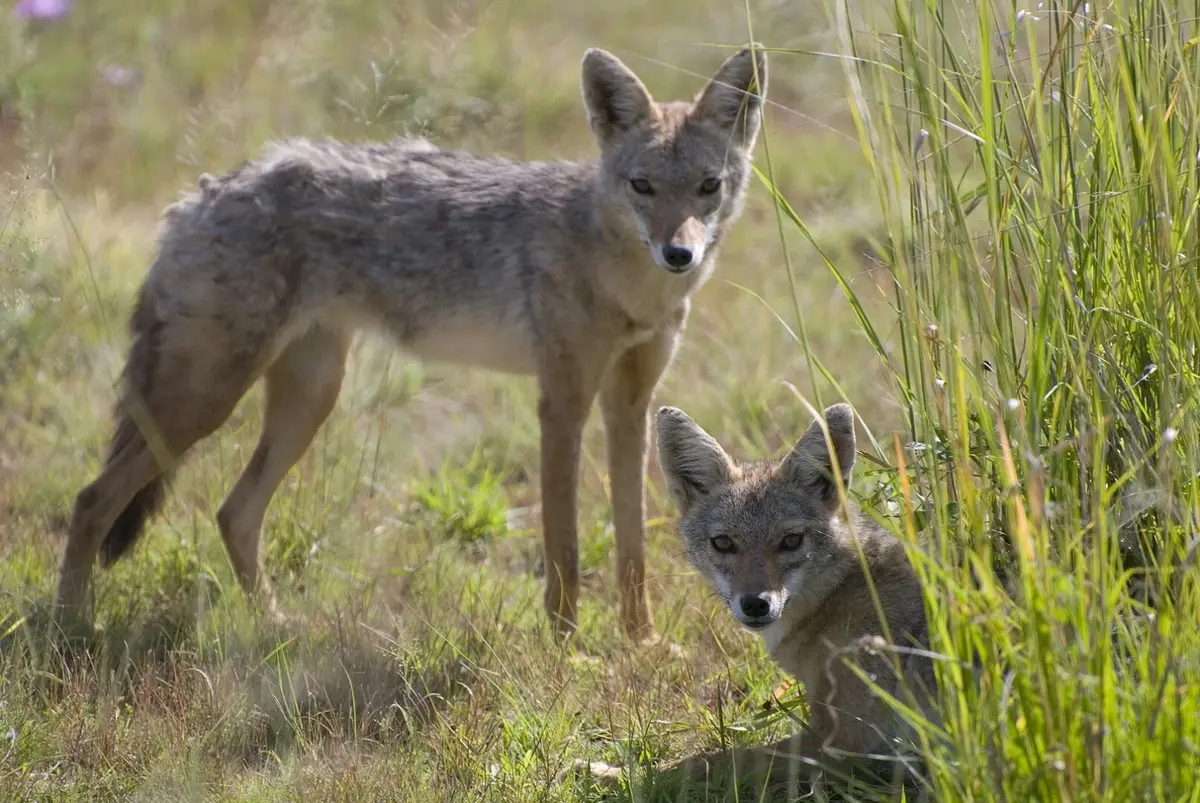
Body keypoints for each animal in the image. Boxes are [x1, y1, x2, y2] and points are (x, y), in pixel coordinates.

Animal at [51, 45, 768, 643]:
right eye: (642, 187)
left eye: (708, 187)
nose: (679, 254)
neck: (629, 286)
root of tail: (199, 194)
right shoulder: (562, 403)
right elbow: (563, 546)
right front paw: (570, 651)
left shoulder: (631, 406)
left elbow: (632, 545)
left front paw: (641, 644)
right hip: (203, 403)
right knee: (90, 501)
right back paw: (70, 630)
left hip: (306, 400)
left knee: (233, 512)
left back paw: (276, 625)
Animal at [572, 403, 938, 792]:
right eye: (723, 543)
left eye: (791, 541)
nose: (756, 603)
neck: (842, 593)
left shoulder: (846, 744)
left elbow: (711, 760)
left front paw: (613, 774)